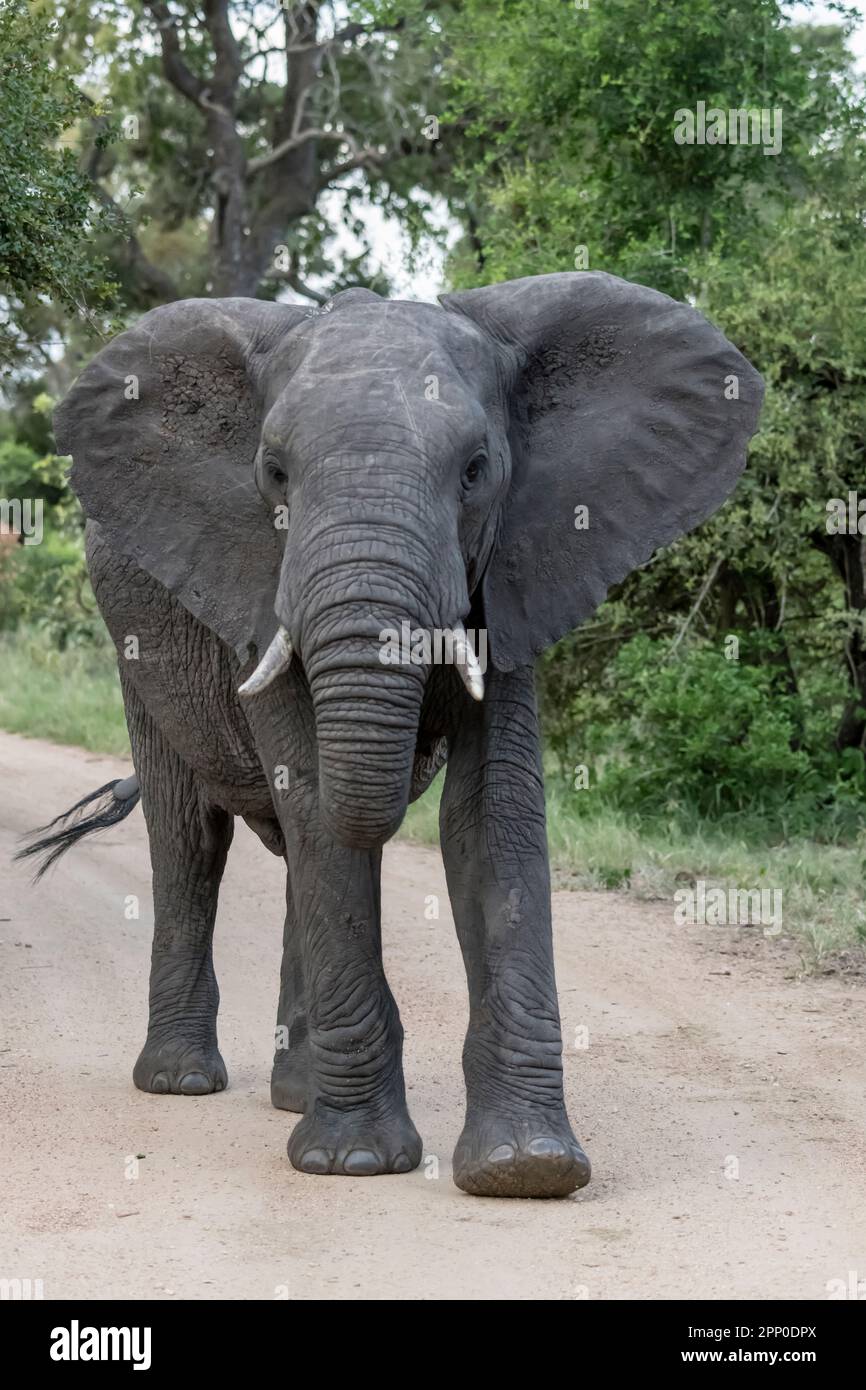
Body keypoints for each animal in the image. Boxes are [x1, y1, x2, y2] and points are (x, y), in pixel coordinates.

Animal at [20, 272, 762, 1198]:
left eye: (477, 472)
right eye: (274, 474)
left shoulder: (515, 568)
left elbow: (489, 813)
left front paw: (529, 1169)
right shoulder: (252, 581)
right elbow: (316, 804)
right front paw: (355, 1163)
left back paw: (294, 1093)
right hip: (134, 641)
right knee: (191, 835)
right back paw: (182, 1080)